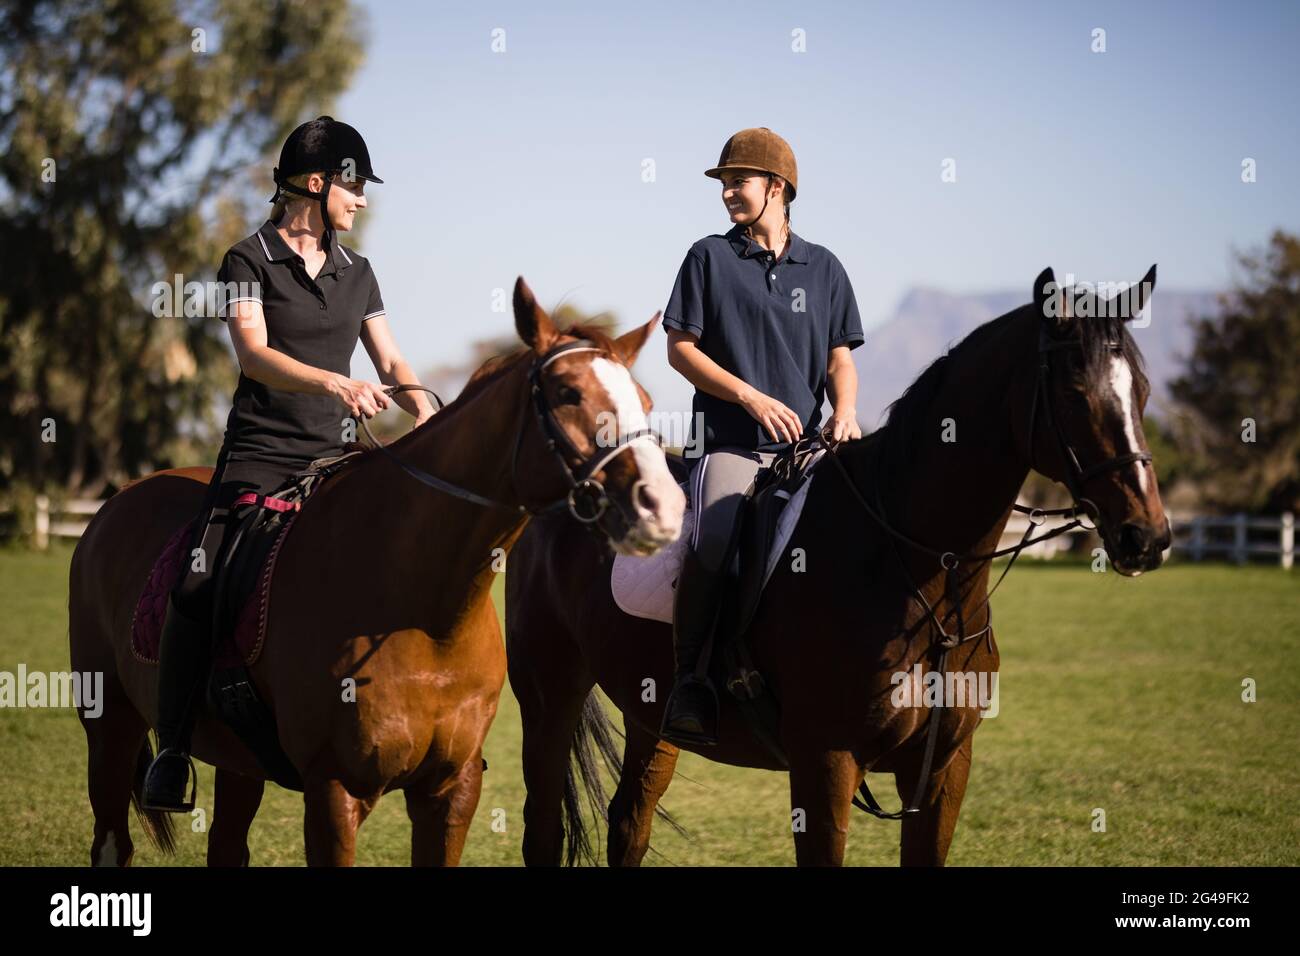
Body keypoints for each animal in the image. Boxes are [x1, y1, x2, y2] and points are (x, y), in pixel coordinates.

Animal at [68, 277, 685, 866]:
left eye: (645, 399)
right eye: (567, 393)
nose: (663, 507)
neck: (424, 614)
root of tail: (120, 498)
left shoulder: (450, 791)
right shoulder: (334, 793)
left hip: (237, 759)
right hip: (109, 724)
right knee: (111, 841)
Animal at [504, 266, 1172, 866]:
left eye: (1141, 392)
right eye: (1075, 396)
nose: (1147, 536)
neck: (917, 575)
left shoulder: (945, 769)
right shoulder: (825, 763)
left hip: (651, 715)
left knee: (629, 822)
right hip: (549, 698)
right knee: (545, 828)